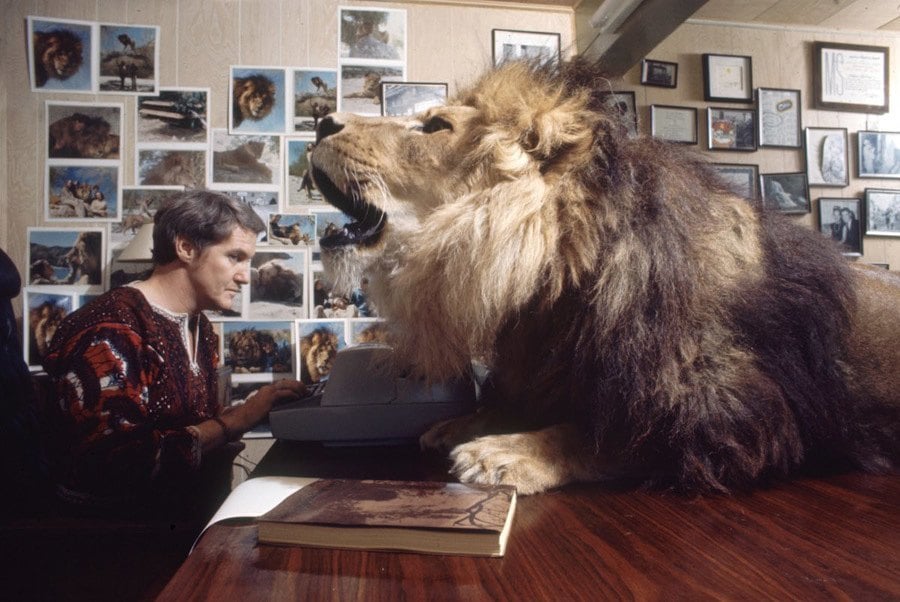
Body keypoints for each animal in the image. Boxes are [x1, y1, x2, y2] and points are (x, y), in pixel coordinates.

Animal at [309, 58, 900, 496]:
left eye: (435, 126)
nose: (320, 122)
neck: (557, 277)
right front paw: (460, 423)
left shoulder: (736, 416)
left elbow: (602, 435)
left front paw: (508, 451)